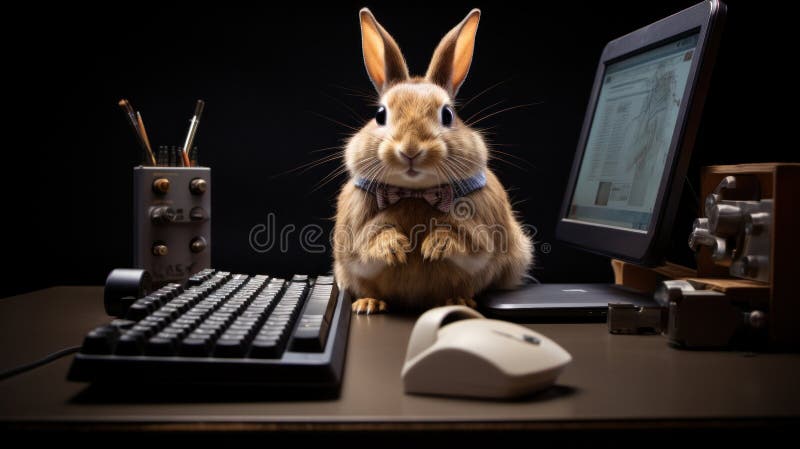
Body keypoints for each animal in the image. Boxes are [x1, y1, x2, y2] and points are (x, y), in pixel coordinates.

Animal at [333, 8, 533, 314]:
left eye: (447, 115)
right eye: (380, 115)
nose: (411, 150)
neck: (415, 193)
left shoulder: (483, 229)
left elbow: (470, 244)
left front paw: (434, 245)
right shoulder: (353, 235)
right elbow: (367, 243)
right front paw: (395, 247)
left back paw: (457, 301)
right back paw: (368, 304)